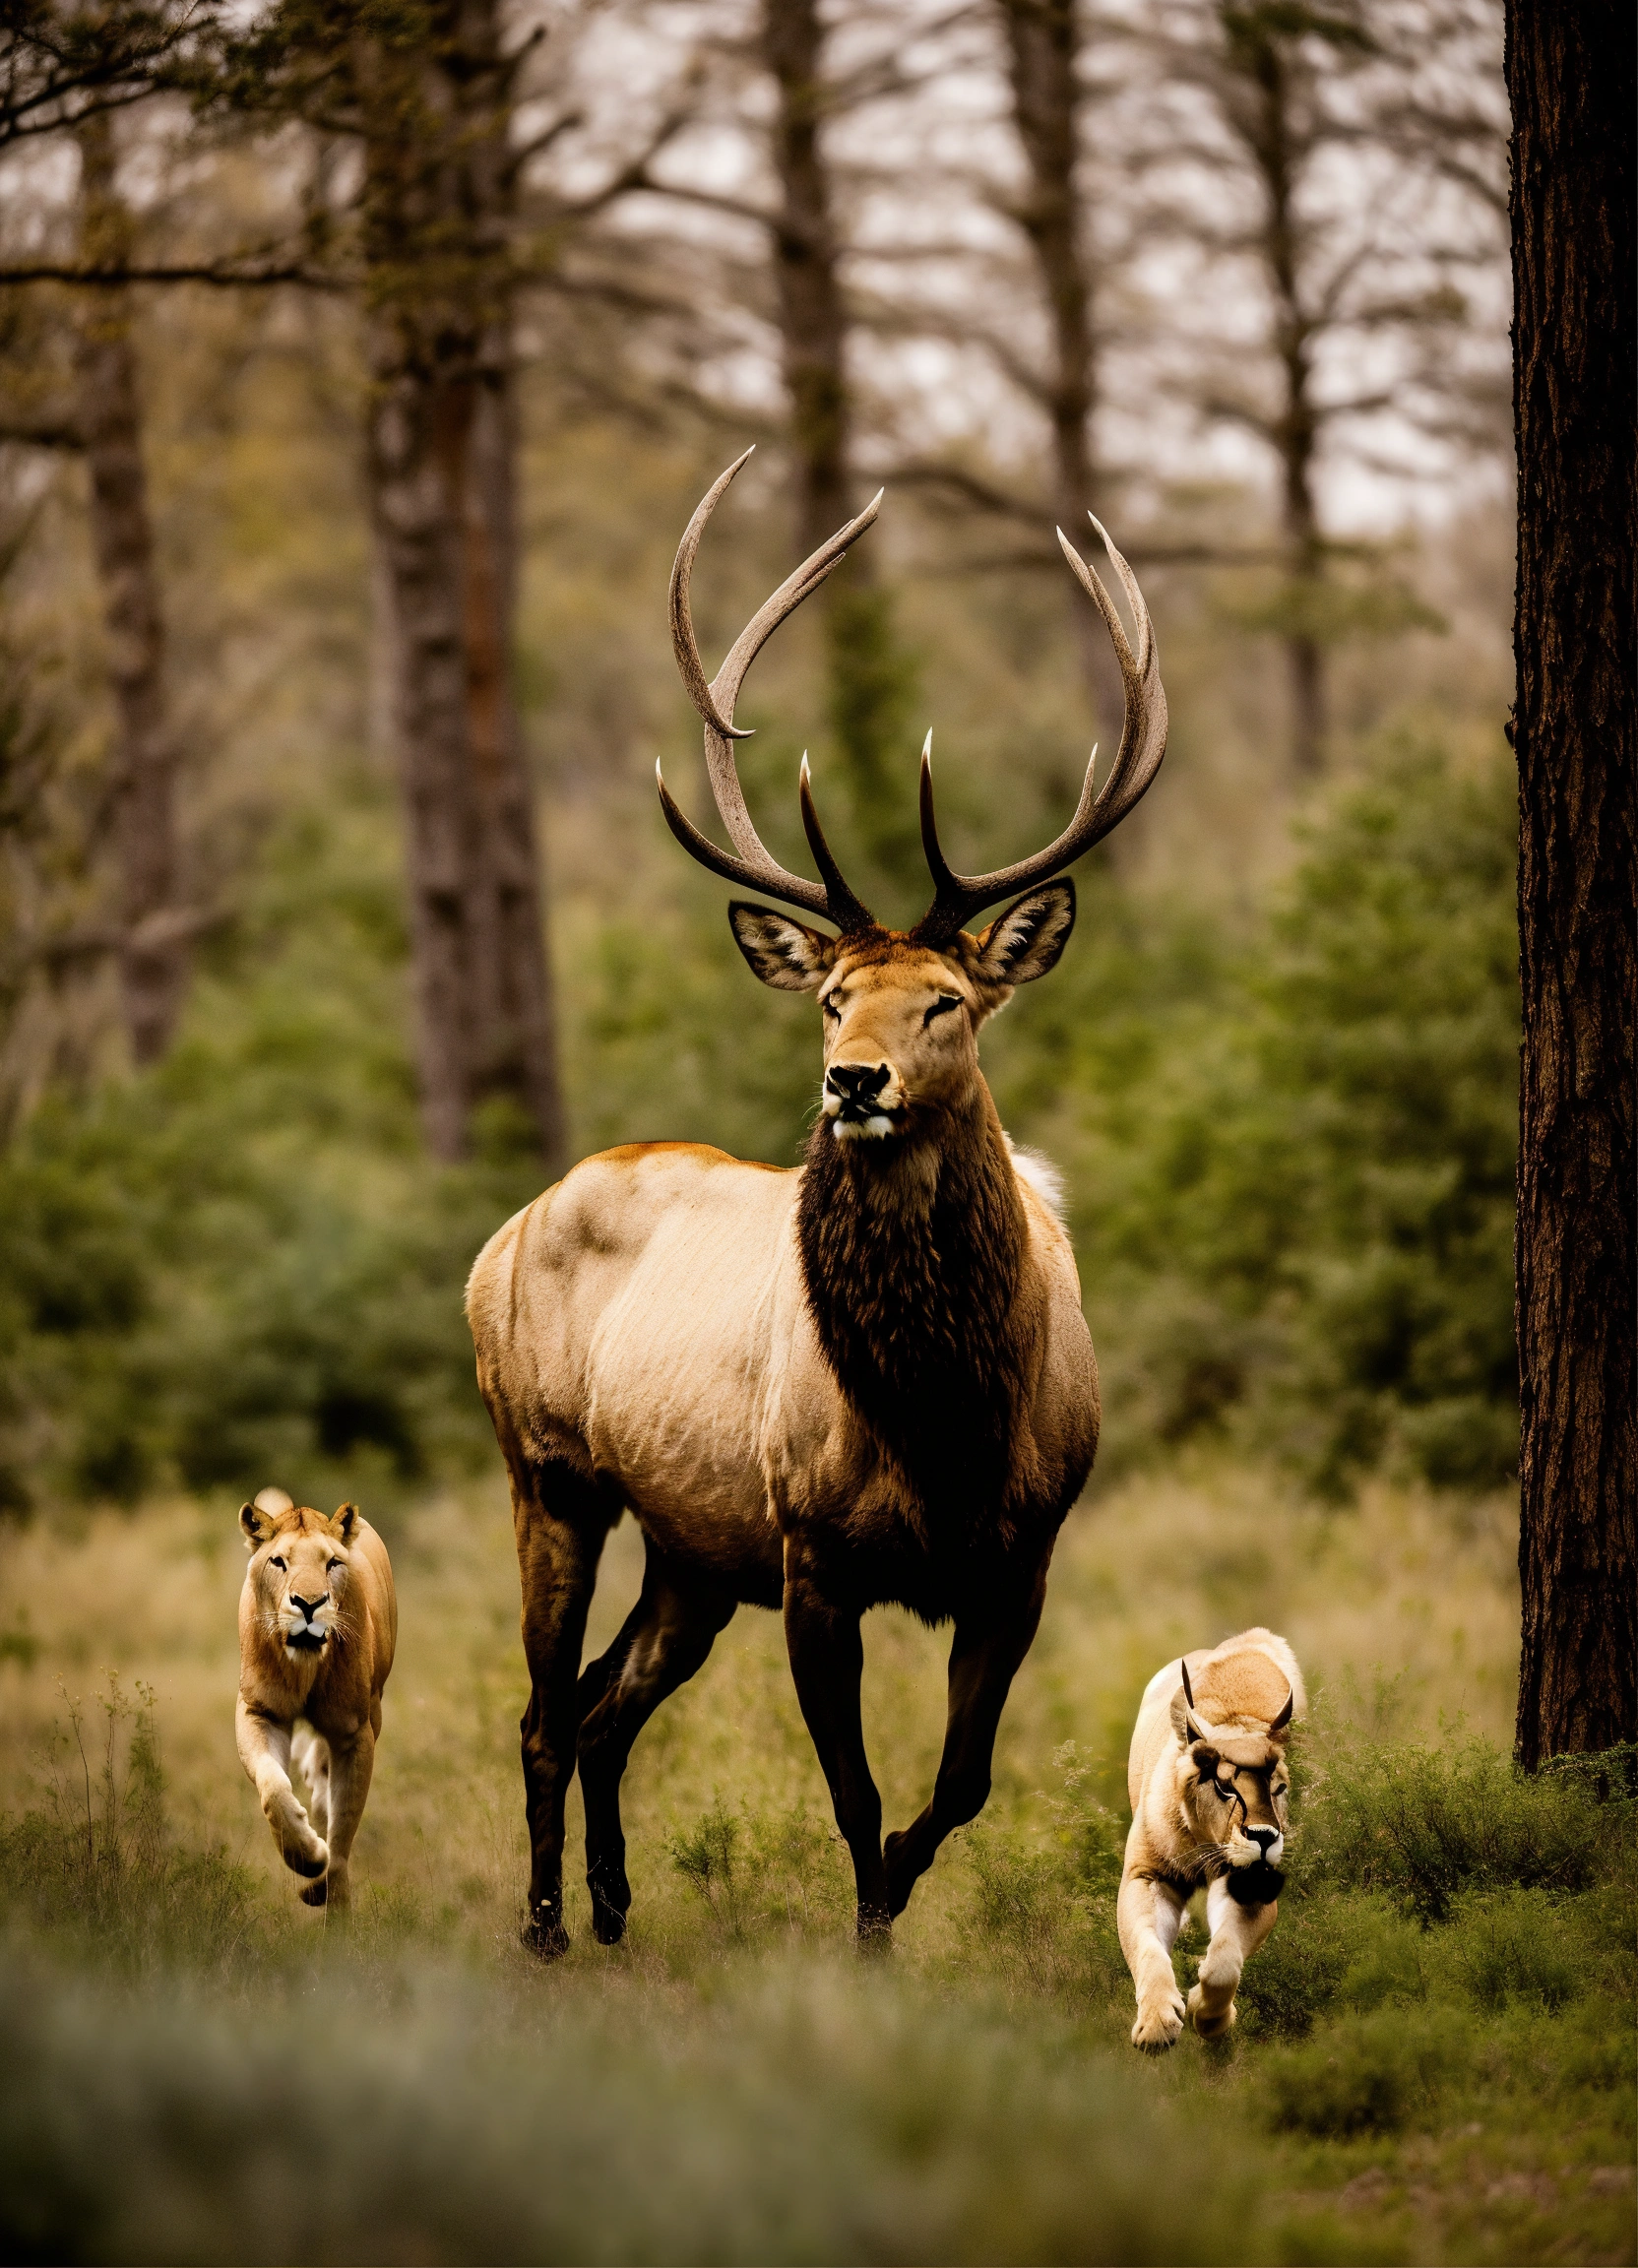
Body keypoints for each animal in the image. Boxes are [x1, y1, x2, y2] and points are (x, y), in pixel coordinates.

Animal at [236, 1487, 397, 1910]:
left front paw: (326, 1888)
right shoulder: (259, 1712)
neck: (306, 1664)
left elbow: (343, 1825)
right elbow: (274, 1789)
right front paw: (306, 1857)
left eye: (332, 1563)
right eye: (279, 1561)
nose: (309, 1604)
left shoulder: (355, 1733)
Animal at [466, 449, 1168, 1954]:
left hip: (691, 1547)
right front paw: (868, 1938)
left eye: (948, 999)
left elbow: (958, 1786)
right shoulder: (813, 1554)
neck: (944, 1420)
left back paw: (614, 1904)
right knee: (544, 1709)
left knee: (606, 1706)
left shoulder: (1022, 1555)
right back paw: (544, 1919)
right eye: (836, 994)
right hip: (549, 1470)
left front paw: (896, 1894)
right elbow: (852, 1794)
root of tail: (506, 1228)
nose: (855, 1081)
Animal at [1118, 1625, 1304, 2051]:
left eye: (1279, 1788)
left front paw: (1208, 2014)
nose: (1264, 1837)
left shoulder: (1251, 1883)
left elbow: (1224, 1961)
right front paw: (1156, 2026)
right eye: (1224, 1786)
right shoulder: (1147, 1876)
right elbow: (1147, 1949)